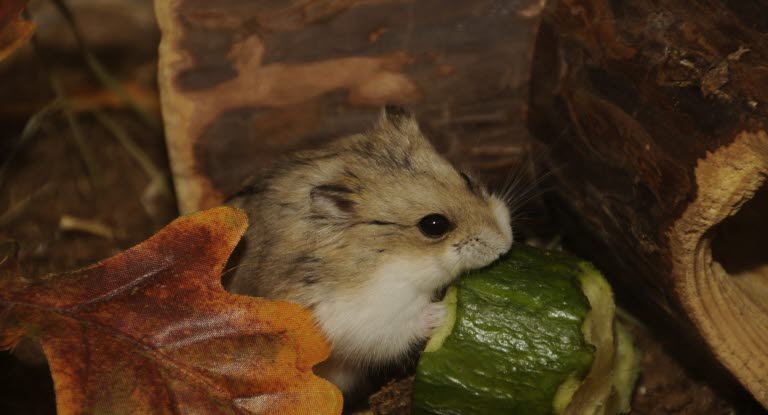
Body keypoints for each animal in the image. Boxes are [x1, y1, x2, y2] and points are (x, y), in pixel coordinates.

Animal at [225, 106, 513, 395]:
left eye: (466, 179)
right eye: (434, 225)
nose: (505, 245)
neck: (392, 255)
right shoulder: (361, 316)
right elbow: (401, 326)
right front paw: (441, 311)